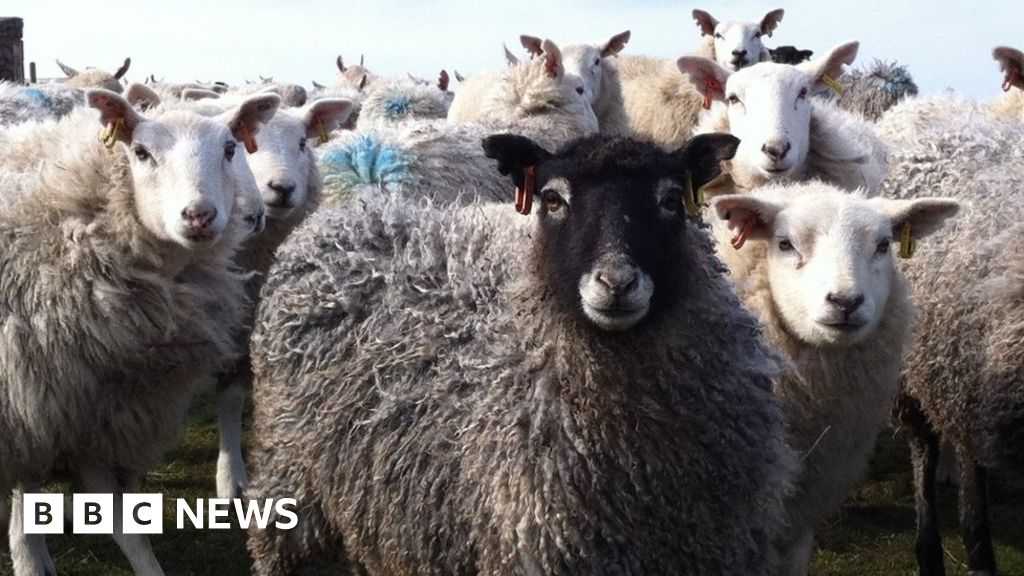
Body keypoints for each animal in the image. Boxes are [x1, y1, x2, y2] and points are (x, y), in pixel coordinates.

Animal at [0, 87, 280, 576]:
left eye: (230, 148)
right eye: (141, 152)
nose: (200, 215)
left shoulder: (95, 414)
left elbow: (126, 528)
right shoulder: (28, 406)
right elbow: (25, 489)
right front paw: (30, 558)